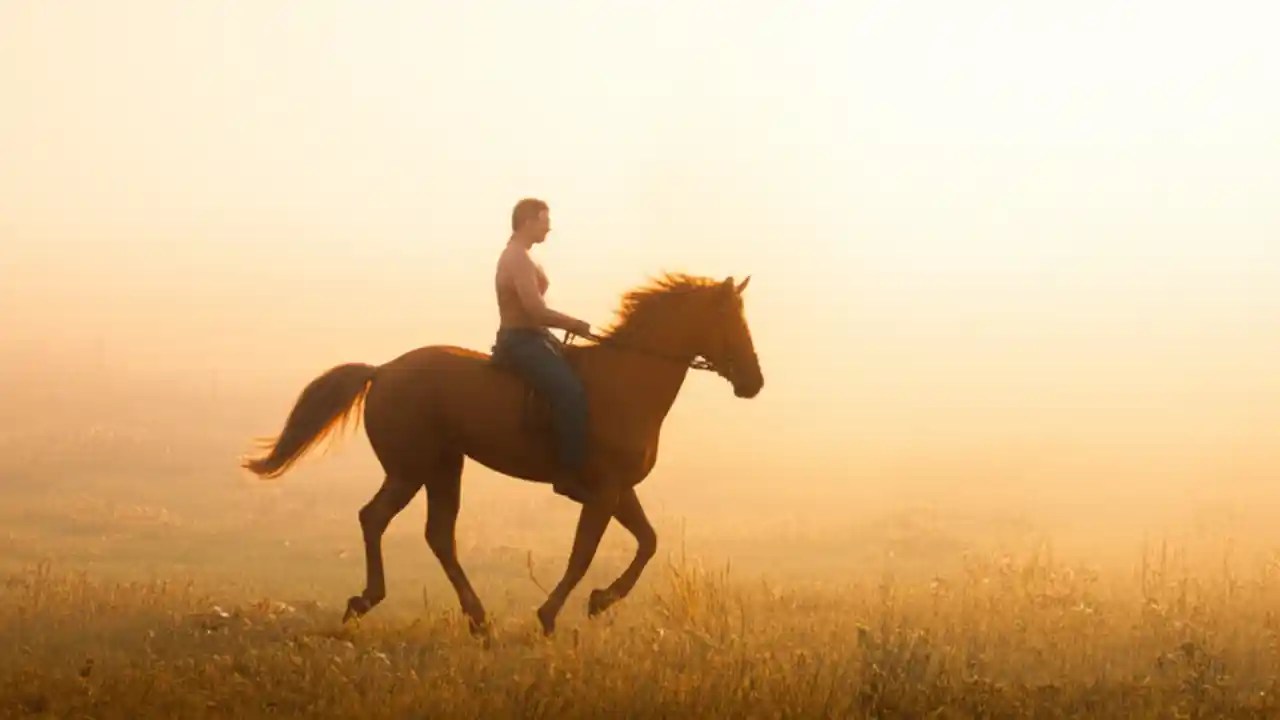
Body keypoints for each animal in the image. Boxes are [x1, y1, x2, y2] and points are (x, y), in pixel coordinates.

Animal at [240, 272, 763, 635]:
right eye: (730, 322)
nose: (753, 382)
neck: (626, 379)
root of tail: (382, 370)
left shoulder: (619, 490)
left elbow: (648, 542)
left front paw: (600, 600)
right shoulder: (602, 492)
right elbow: (583, 554)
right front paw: (551, 615)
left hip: (443, 468)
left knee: (436, 535)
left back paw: (475, 619)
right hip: (411, 470)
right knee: (376, 518)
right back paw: (371, 601)